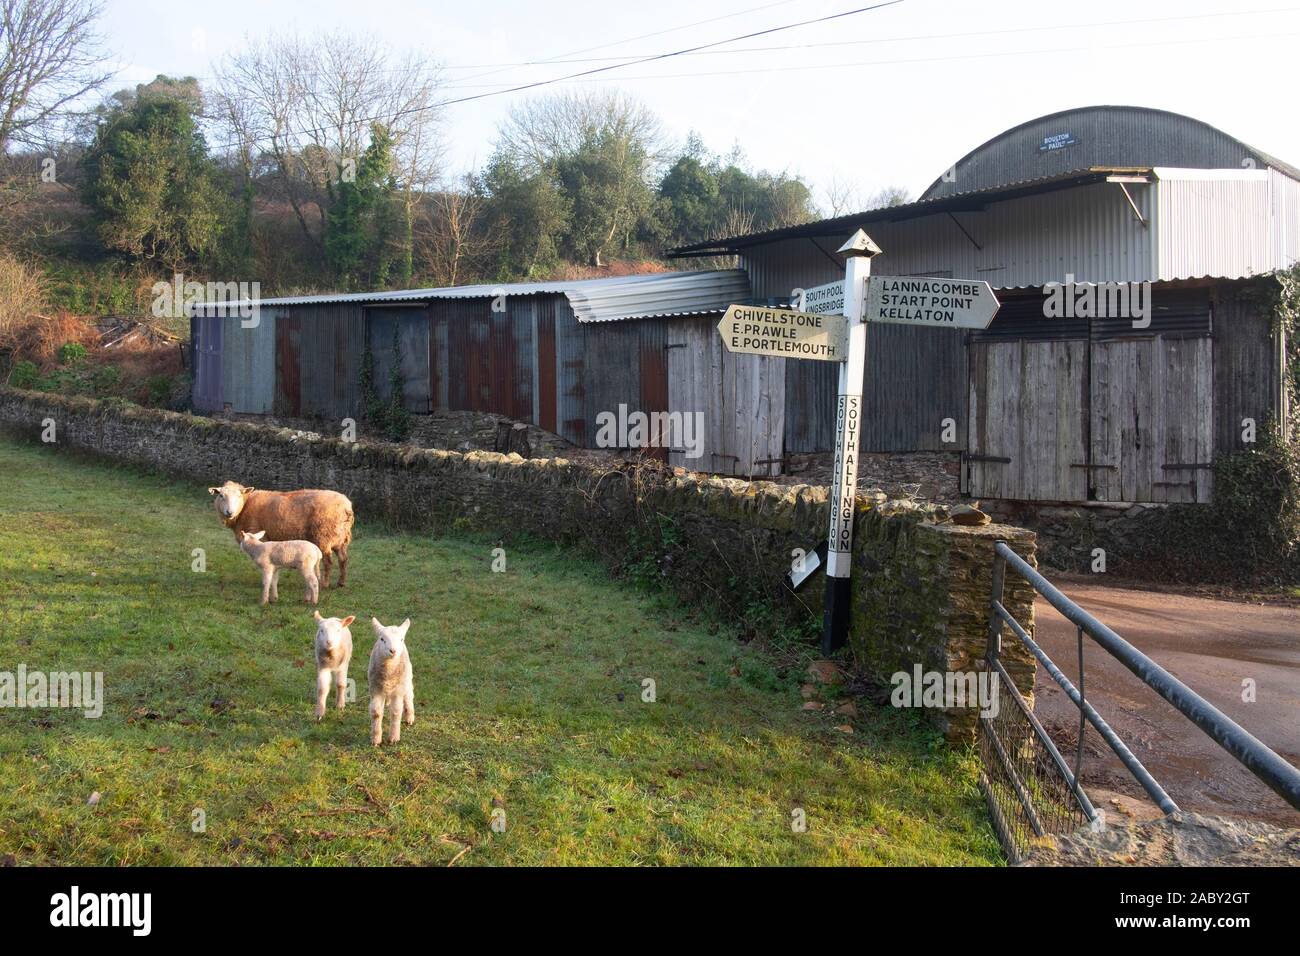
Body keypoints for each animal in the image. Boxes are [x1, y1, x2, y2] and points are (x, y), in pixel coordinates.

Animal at [209, 481, 354, 588]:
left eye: (239, 496)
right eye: (221, 495)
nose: (229, 512)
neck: (245, 507)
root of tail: (346, 507)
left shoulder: (258, 535)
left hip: (324, 537)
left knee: (328, 562)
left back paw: (324, 584)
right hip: (340, 539)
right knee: (343, 559)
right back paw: (341, 583)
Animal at [367, 617, 415, 746]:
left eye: (401, 639)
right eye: (382, 639)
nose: (393, 651)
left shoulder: (398, 692)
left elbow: (396, 712)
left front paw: (394, 738)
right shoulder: (375, 689)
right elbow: (376, 713)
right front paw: (376, 739)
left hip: (407, 679)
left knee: (409, 696)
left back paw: (409, 717)